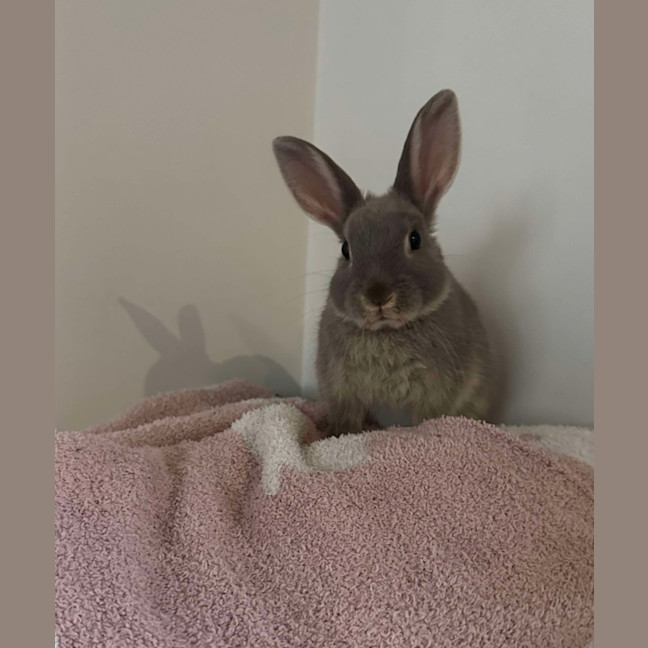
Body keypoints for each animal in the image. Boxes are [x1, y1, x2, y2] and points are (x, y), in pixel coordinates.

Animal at [272, 89, 498, 437]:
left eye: (415, 238)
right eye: (346, 249)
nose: (378, 296)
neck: (386, 331)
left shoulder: (436, 393)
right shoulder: (342, 392)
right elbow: (347, 421)